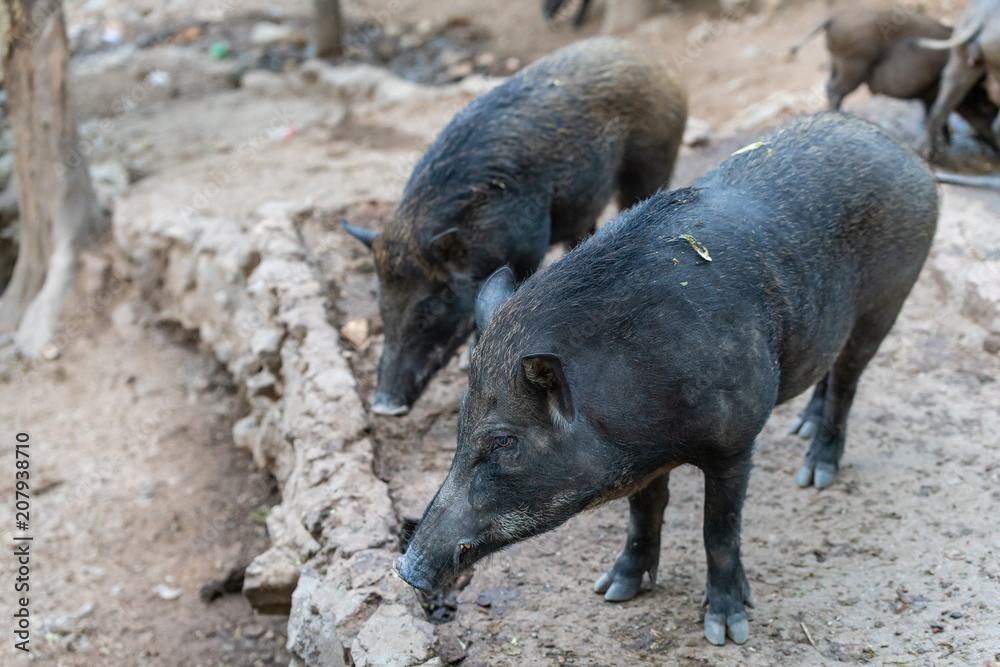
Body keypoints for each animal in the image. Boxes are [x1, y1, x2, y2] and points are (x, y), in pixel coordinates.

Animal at [343, 37, 687, 416]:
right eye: (381, 306)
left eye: (428, 308)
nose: (383, 407)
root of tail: (654, 63)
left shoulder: (531, 244)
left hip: (651, 163)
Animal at [396, 112, 938, 646]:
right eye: (461, 425)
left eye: (505, 441)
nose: (407, 569)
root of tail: (904, 153)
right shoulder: (640, 461)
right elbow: (644, 513)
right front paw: (614, 591)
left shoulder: (736, 441)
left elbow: (719, 529)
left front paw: (727, 630)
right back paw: (800, 427)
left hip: (889, 300)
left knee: (847, 380)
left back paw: (816, 475)